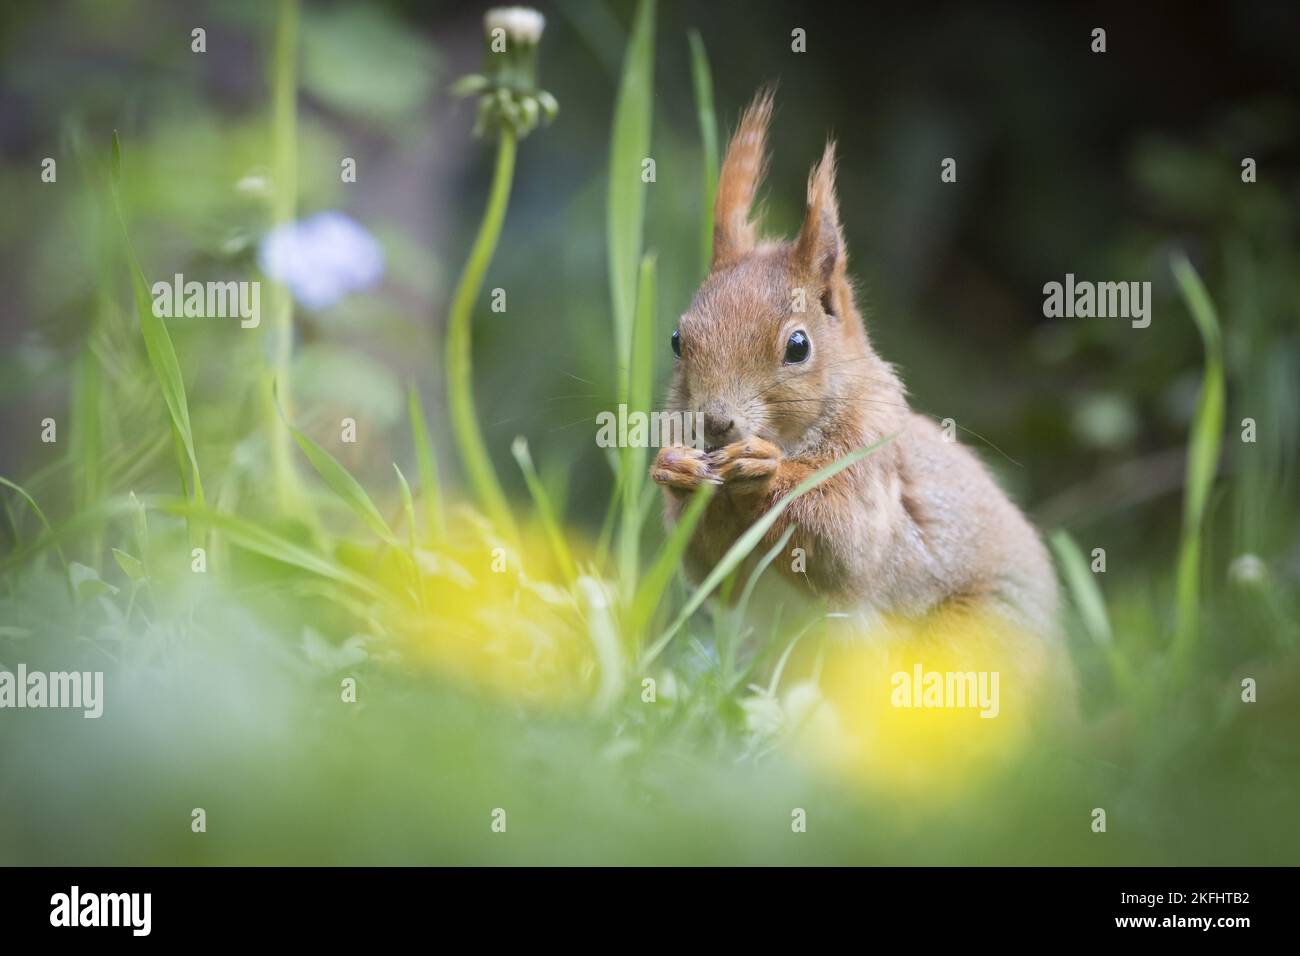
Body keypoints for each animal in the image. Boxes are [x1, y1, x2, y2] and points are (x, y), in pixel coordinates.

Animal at [651, 89, 1060, 642]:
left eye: (798, 346)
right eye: (678, 340)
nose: (715, 423)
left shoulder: (874, 466)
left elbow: (844, 542)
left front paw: (763, 468)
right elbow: (715, 572)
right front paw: (677, 468)